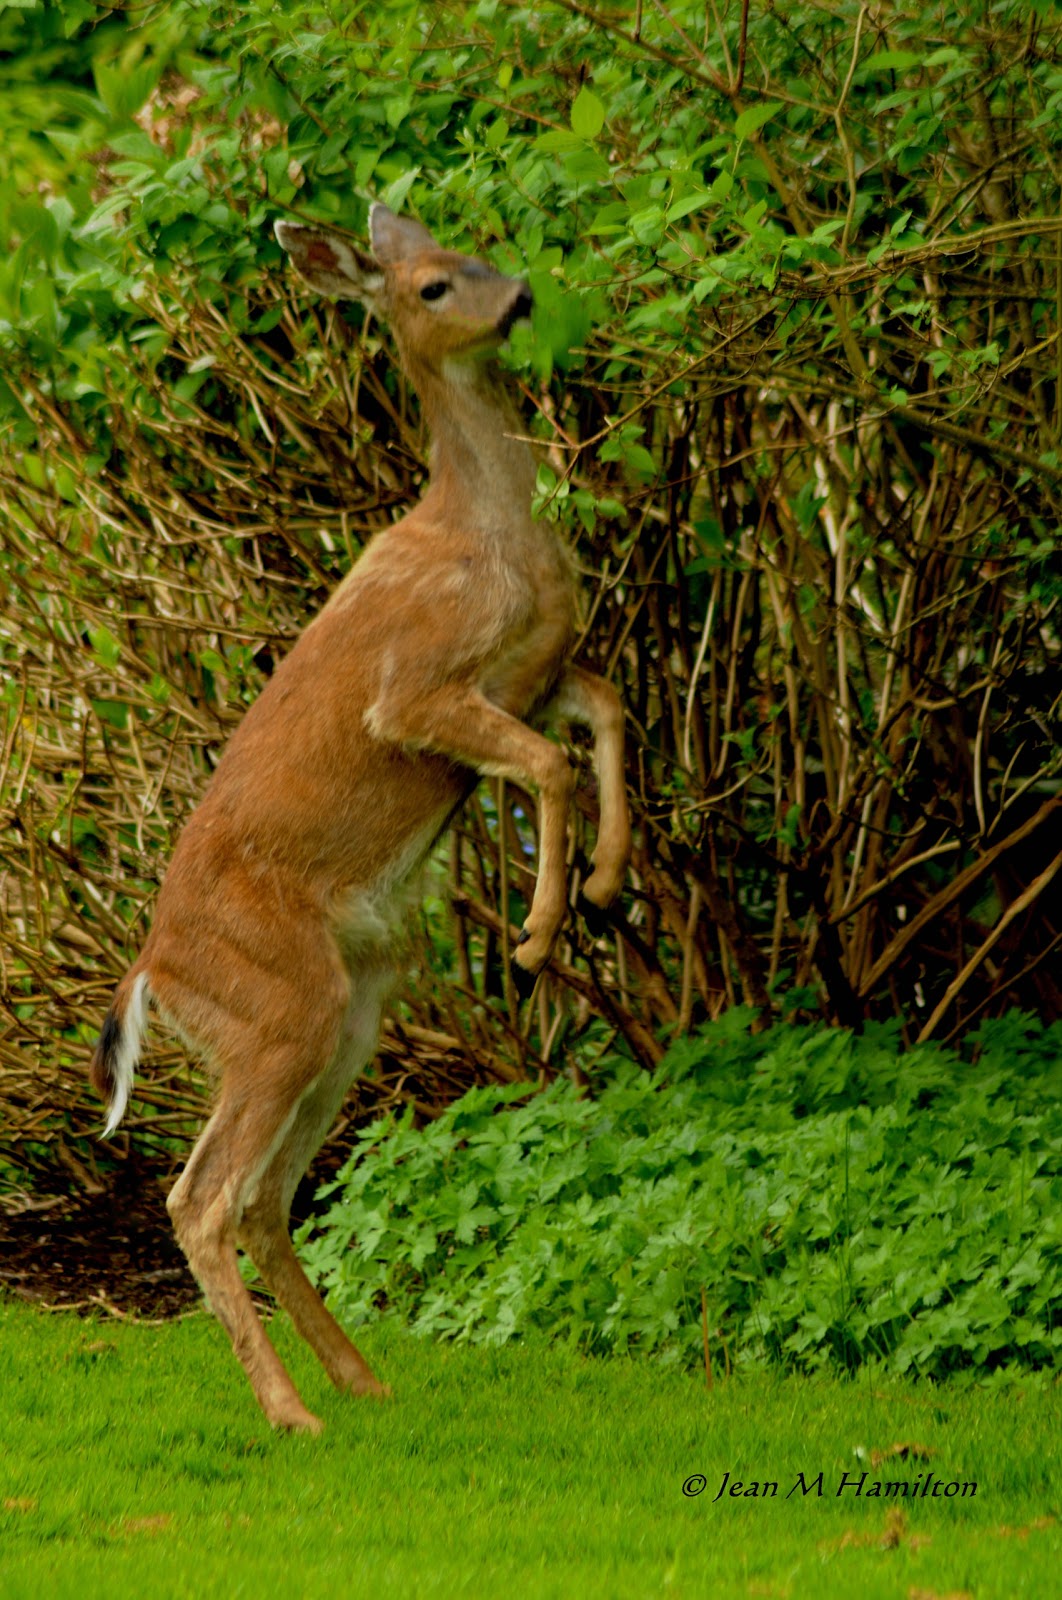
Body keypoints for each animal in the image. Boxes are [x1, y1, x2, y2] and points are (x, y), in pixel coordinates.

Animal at [89, 201, 631, 1434]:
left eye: (480, 251)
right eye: (432, 285)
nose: (520, 296)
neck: (490, 532)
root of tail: (151, 969)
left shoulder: (535, 673)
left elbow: (607, 711)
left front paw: (607, 883)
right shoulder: (418, 690)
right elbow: (549, 764)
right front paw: (538, 936)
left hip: (349, 1014)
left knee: (264, 1197)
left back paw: (361, 1379)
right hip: (280, 1007)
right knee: (203, 1197)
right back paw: (292, 1412)